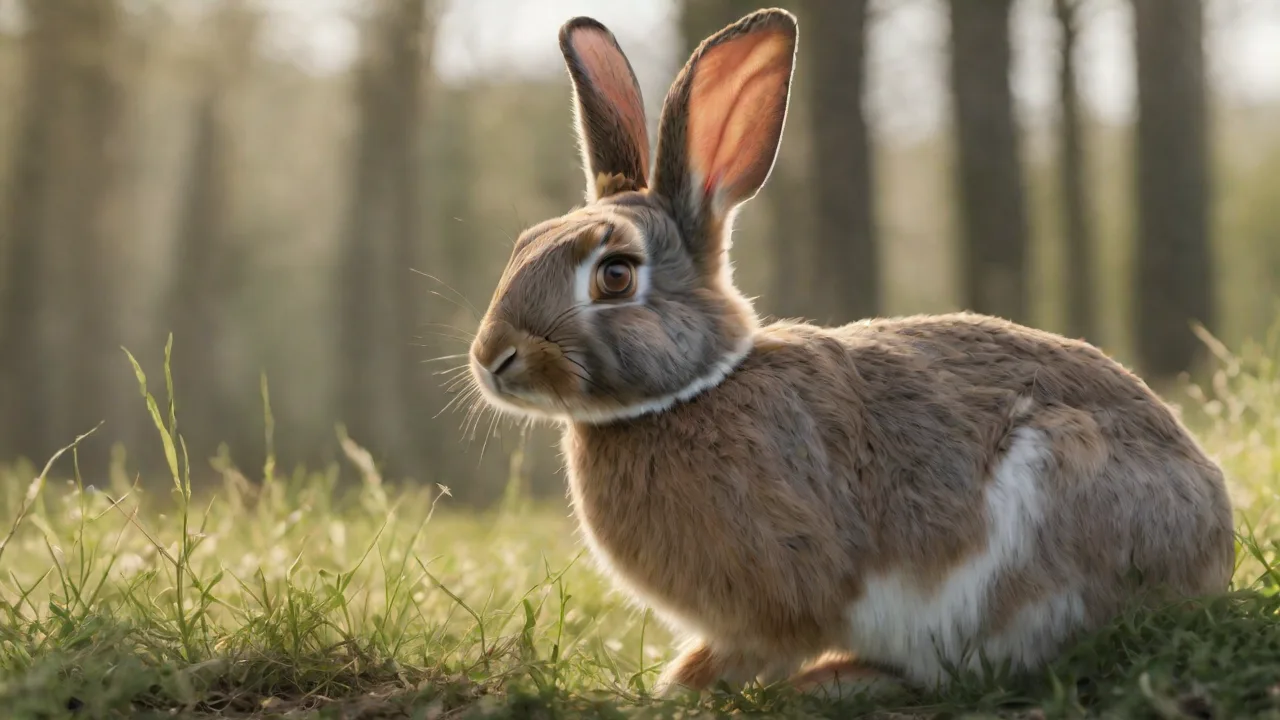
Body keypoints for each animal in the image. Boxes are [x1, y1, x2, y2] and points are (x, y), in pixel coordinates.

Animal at [465, 7, 1236, 697]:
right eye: (524, 244)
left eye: (616, 275)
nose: (493, 357)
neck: (692, 391)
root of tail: (1210, 555)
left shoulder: (785, 589)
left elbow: (768, 642)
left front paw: (684, 686)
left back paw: (837, 681)